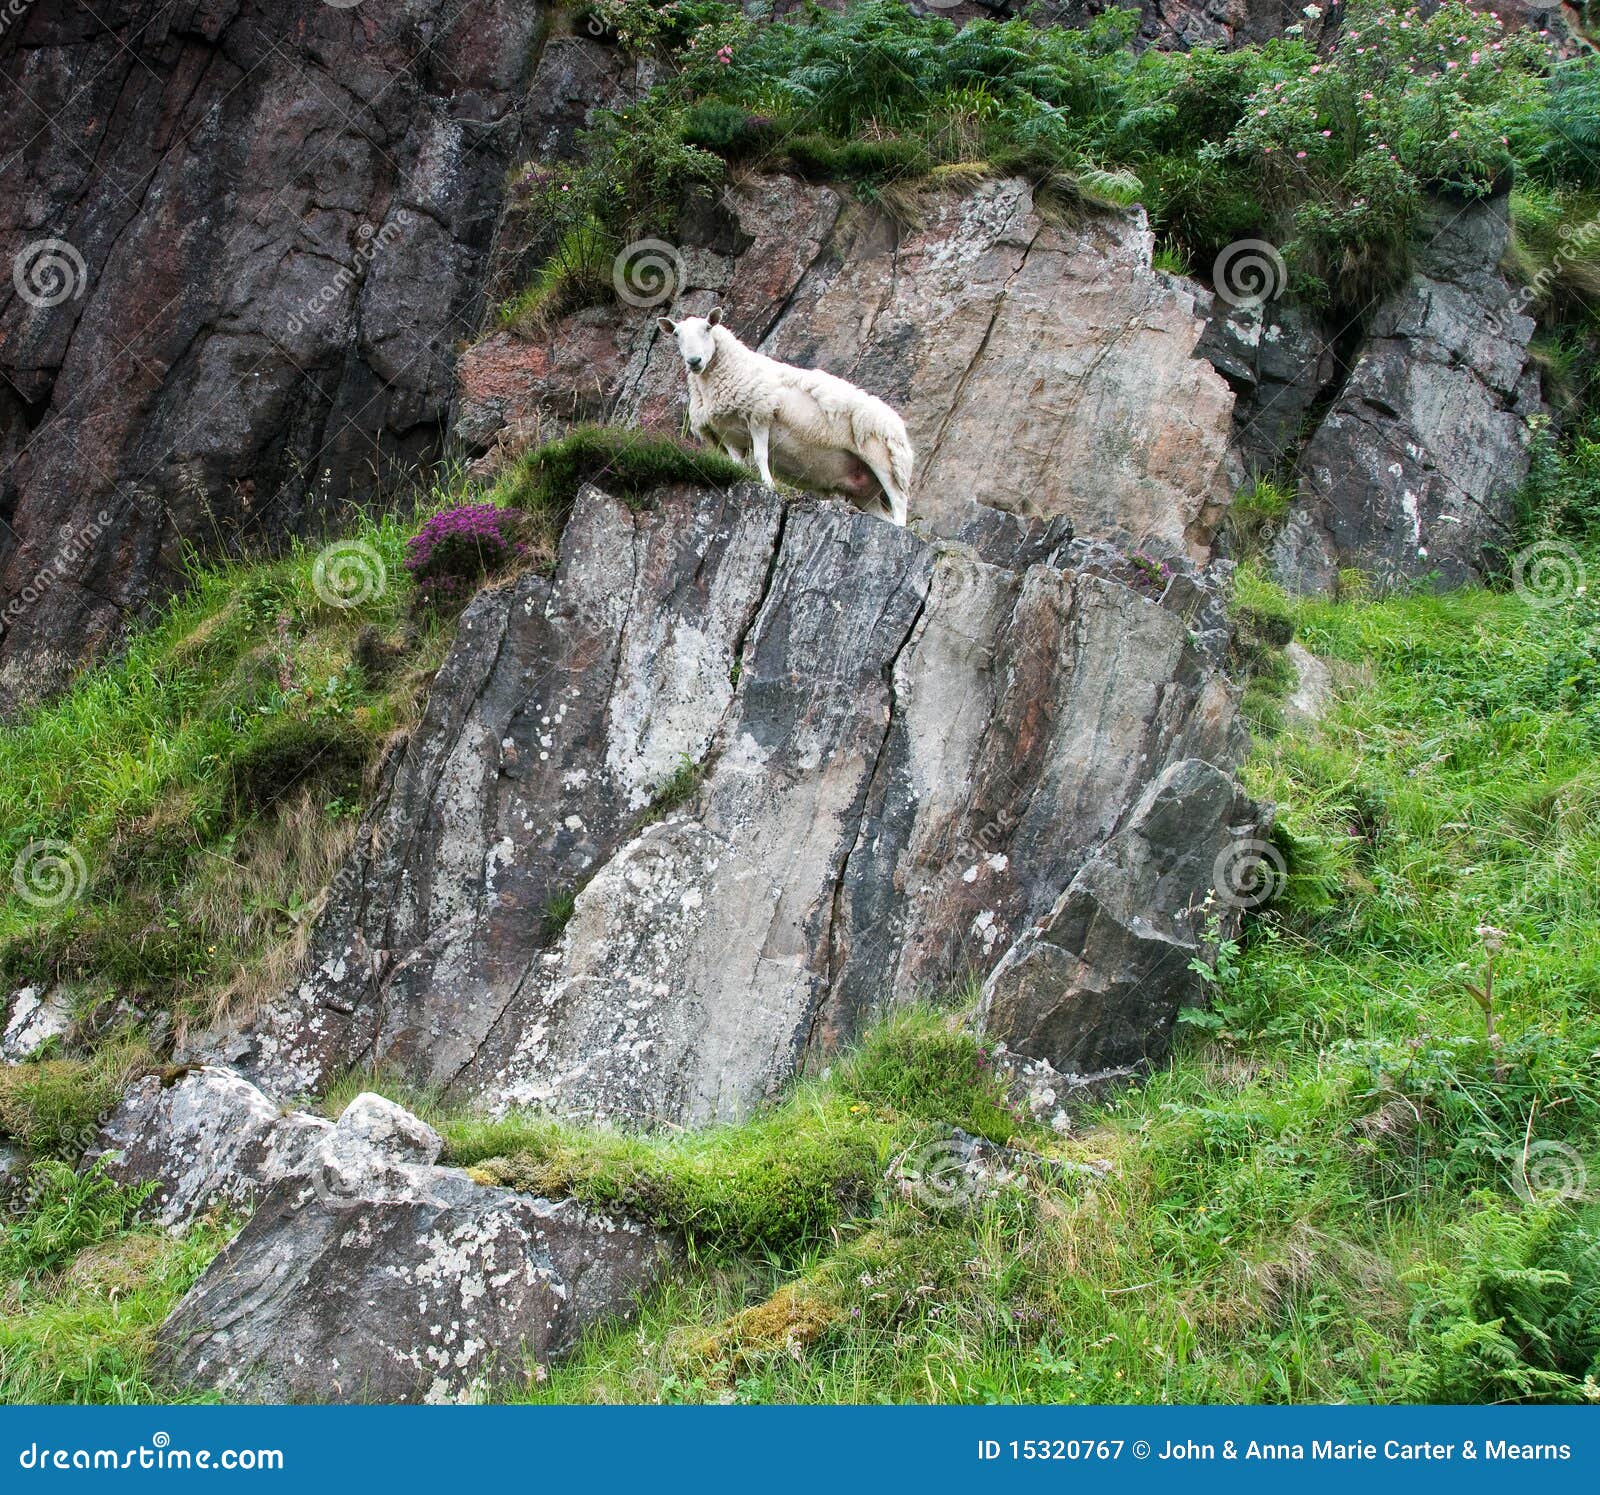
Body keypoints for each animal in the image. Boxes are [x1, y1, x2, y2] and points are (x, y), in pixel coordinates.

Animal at [657, 308, 914, 525]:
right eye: (677, 334)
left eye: (707, 328)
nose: (694, 361)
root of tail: (899, 427)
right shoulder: (726, 433)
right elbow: (735, 462)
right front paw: (740, 475)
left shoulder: (760, 414)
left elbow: (760, 455)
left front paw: (768, 484)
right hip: (865, 490)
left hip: (882, 458)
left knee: (899, 501)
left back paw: (900, 528)